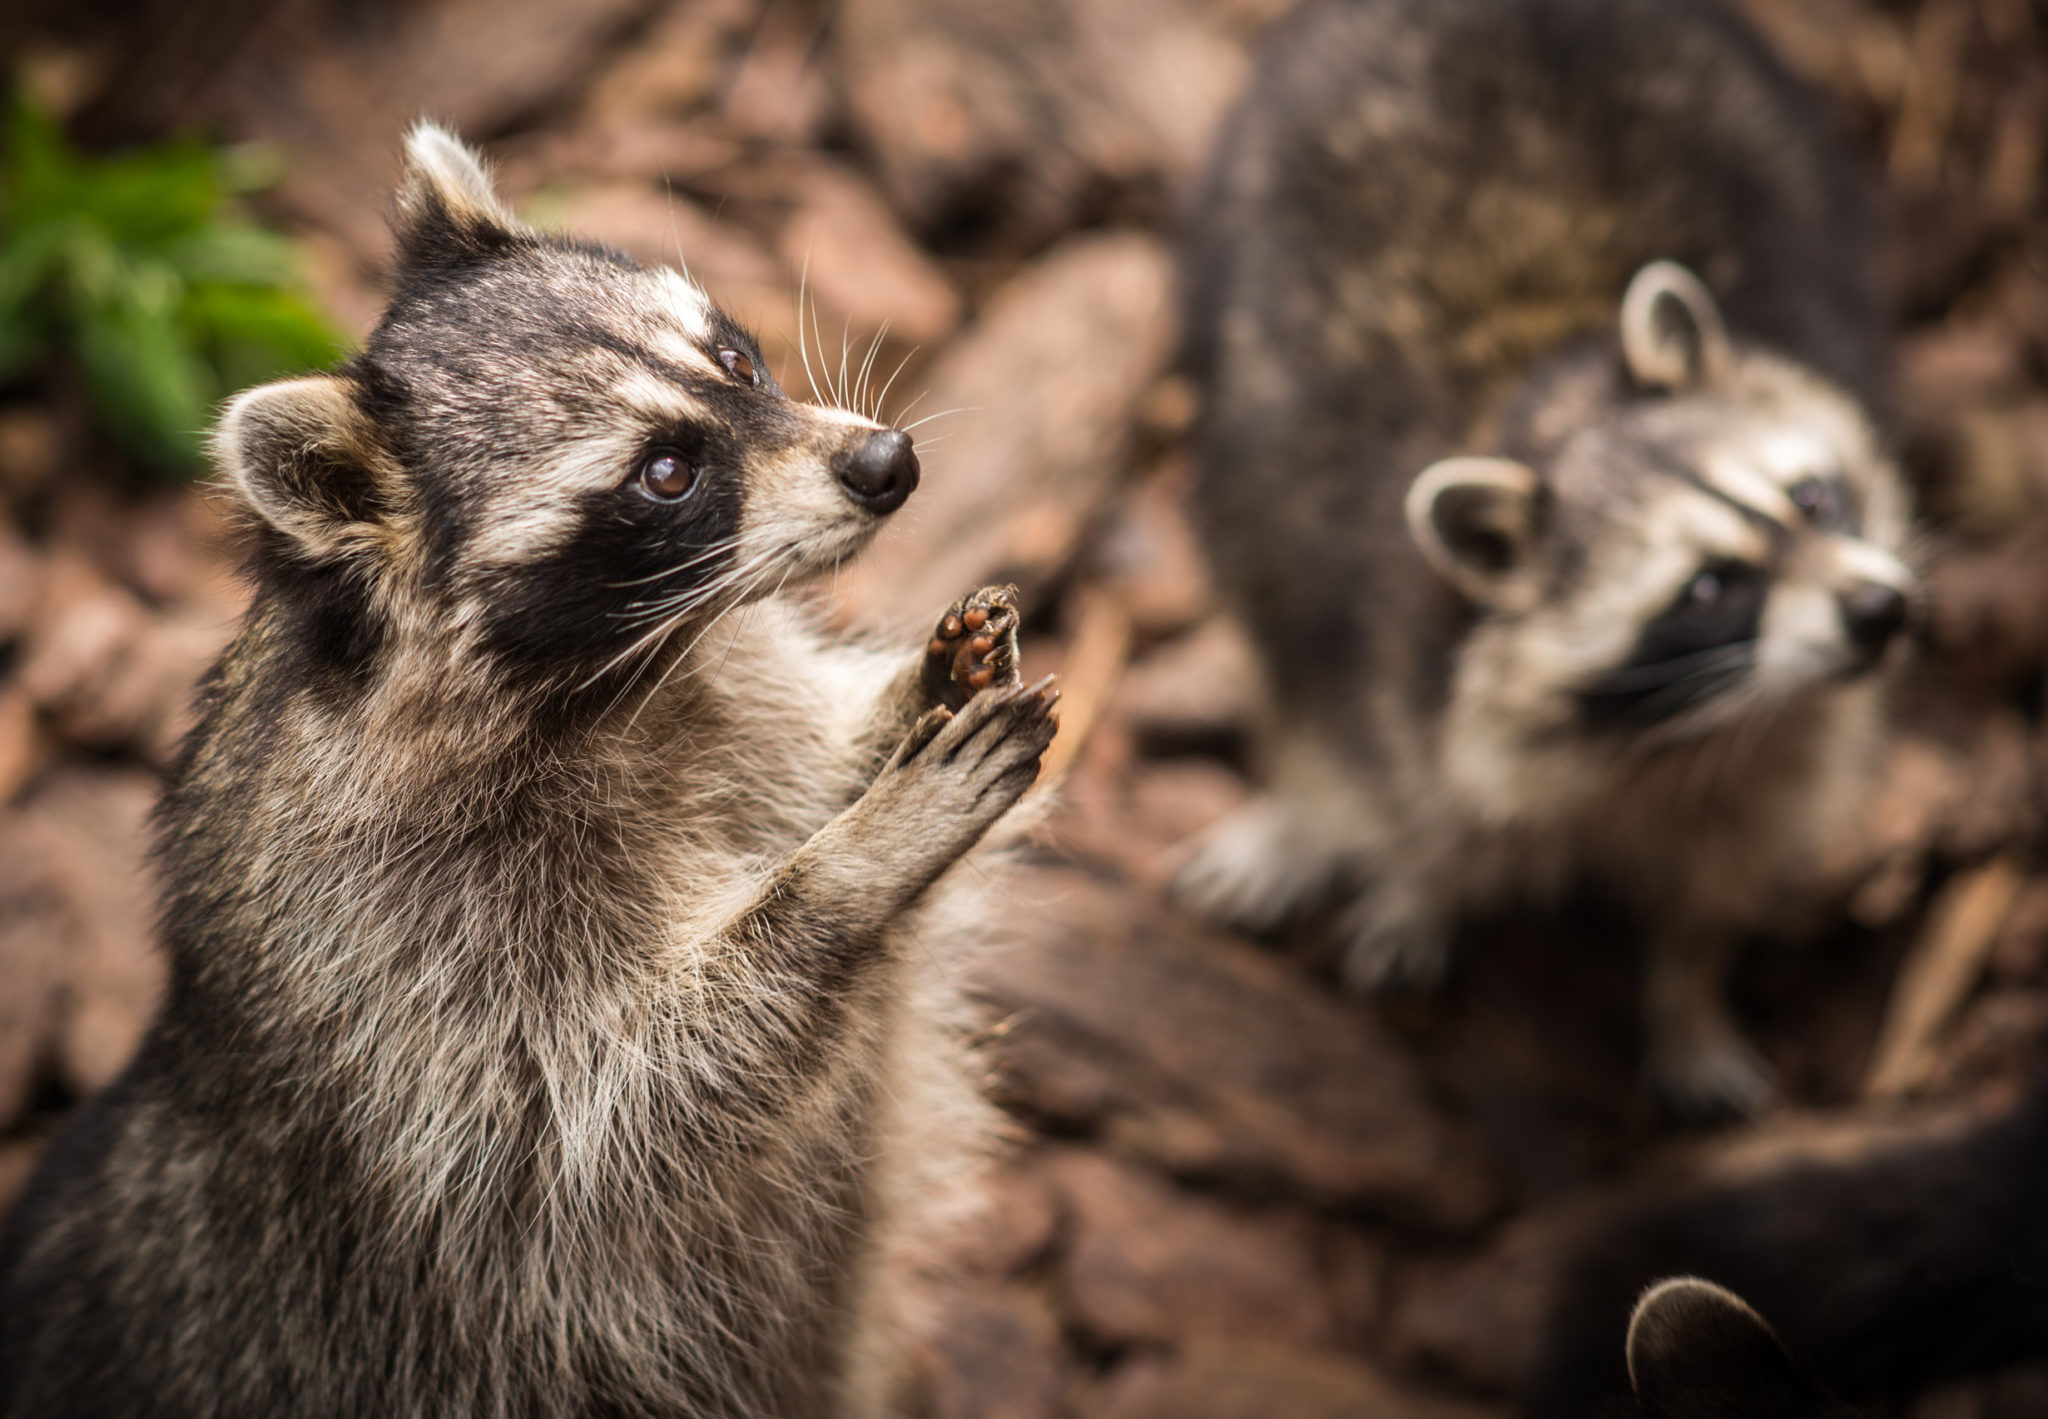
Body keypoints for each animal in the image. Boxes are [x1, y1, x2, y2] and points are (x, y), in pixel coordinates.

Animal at [0, 125, 1059, 1419]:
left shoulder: (725, 700)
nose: (887, 461)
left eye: (732, 356)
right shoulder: (405, 956)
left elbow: (793, 783)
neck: (618, 684)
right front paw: (848, 871)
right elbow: (609, 1113)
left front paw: (914, 702)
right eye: (665, 472)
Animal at [1176, 0, 1915, 1117]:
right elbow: (1376, 760)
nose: (1879, 614)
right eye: (1709, 589)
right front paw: (1413, 878)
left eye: (1810, 497)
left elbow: (1725, 867)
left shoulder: (1793, 736)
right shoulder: (1348, 606)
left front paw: (1689, 992)